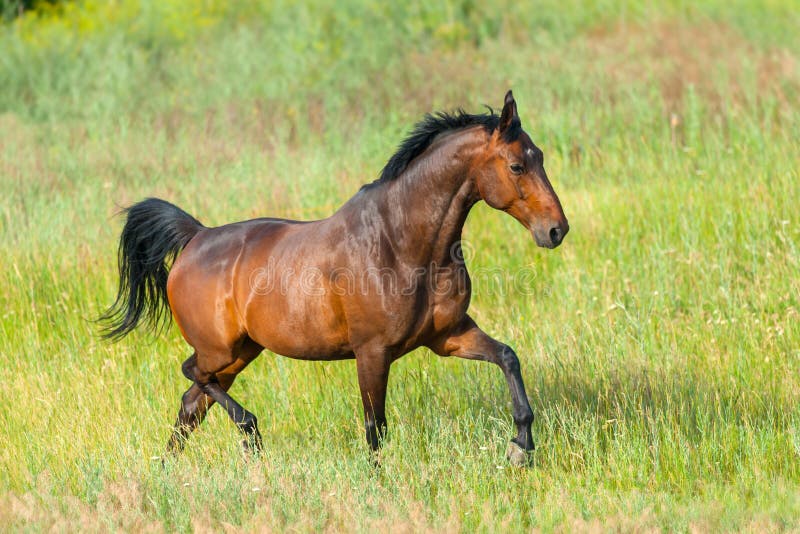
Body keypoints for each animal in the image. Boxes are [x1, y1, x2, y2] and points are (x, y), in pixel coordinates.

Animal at [101, 90, 568, 466]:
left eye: (540, 157)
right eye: (516, 166)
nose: (556, 230)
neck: (399, 243)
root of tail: (195, 237)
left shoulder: (448, 335)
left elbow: (508, 357)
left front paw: (521, 447)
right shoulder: (372, 353)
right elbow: (376, 427)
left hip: (240, 353)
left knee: (191, 404)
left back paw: (172, 469)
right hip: (220, 350)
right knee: (191, 375)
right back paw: (250, 431)